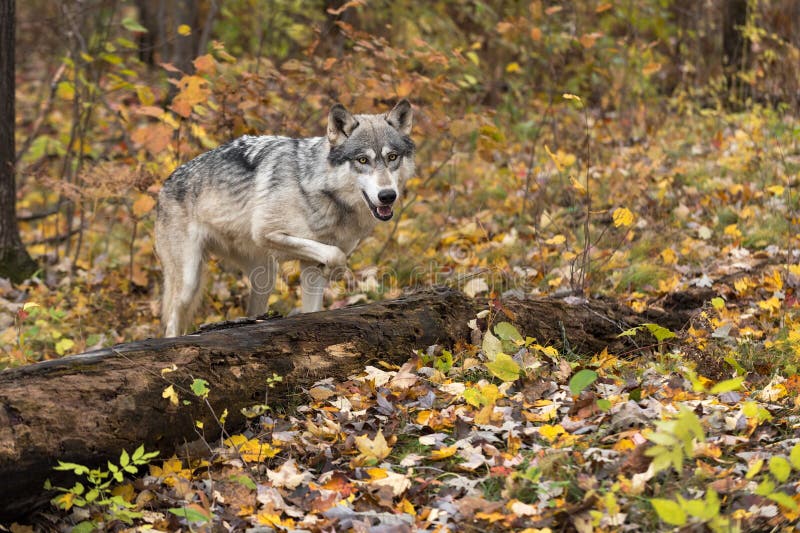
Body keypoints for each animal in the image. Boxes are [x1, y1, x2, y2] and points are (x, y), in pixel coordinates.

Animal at [155, 100, 414, 337]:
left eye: (392, 157)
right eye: (362, 160)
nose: (387, 195)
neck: (318, 189)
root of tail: (165, 183)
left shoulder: (310, 266)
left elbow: (315, 305)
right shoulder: (266, 233)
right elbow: (335, 255)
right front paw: (339, 273)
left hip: (265, 277)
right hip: (189, 281)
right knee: (172, 323)